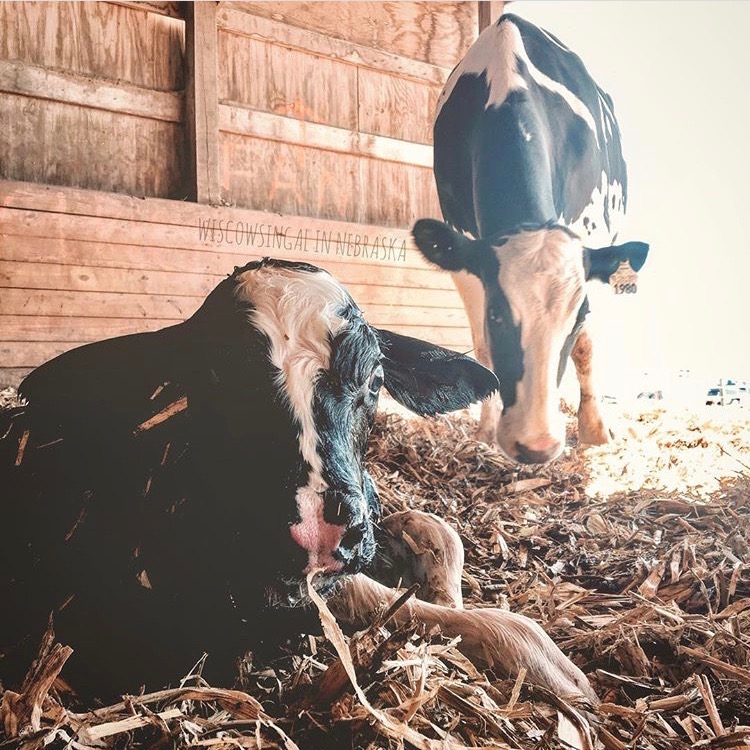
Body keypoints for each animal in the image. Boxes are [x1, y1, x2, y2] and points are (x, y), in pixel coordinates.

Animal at [411, 12, 650, 464]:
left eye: (578, 317)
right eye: (497, 315)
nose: (537, 445)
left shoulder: (590, 234)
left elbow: (586, 346)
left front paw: (594, 430)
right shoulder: (465, 255)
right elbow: (482, 346)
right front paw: (486, 430)